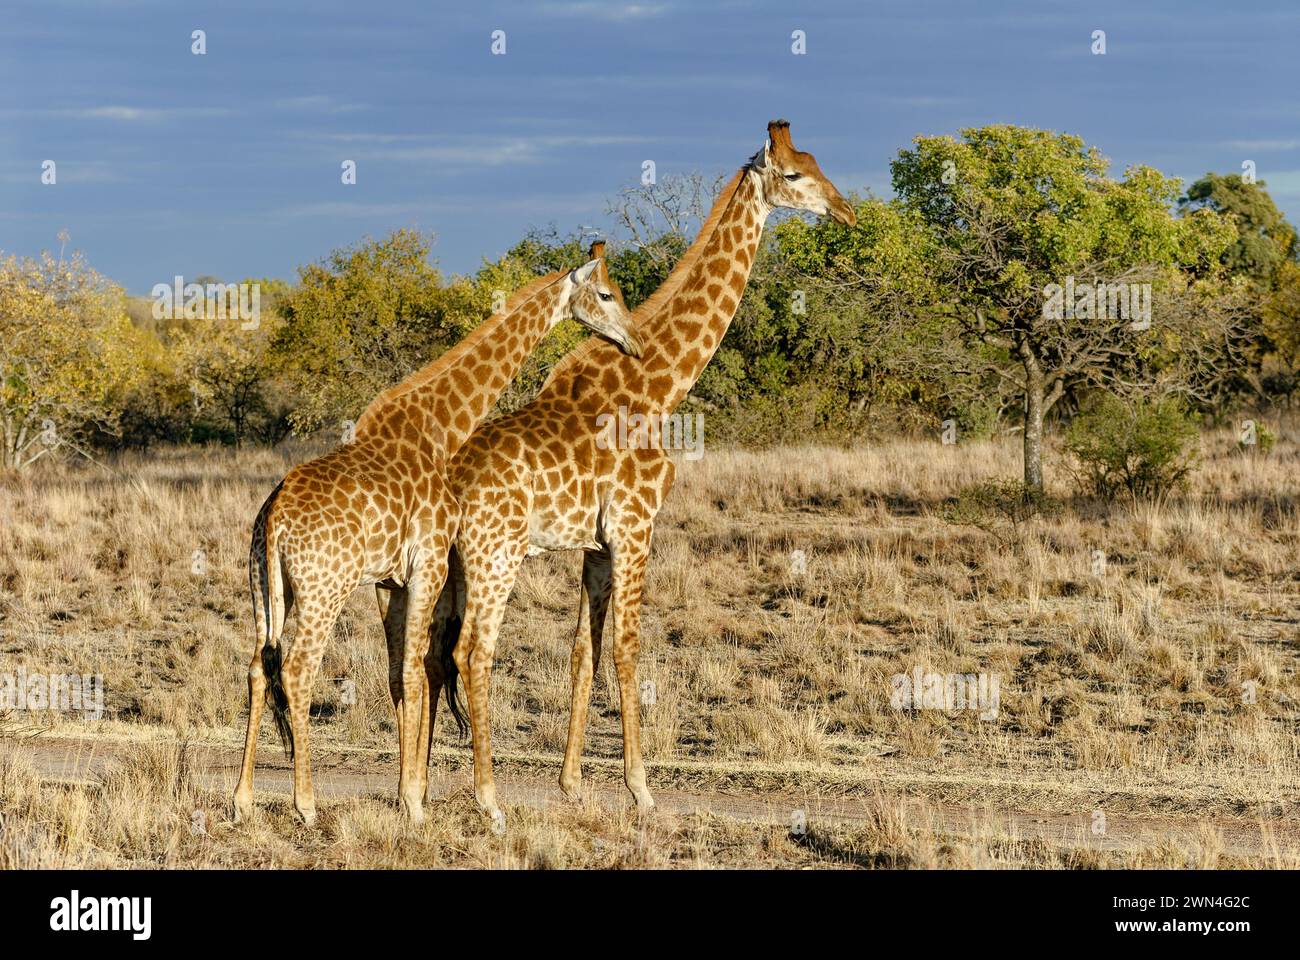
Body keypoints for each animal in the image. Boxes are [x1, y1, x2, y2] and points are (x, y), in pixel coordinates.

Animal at [231, 246, 639, 826]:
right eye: (605, 294)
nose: (633, 342)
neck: (440, 428)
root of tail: (274, 517)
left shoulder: (391, 582)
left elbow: (402, 675)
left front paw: (412, 794)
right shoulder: (428, 564)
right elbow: (416, 671)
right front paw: (414, 804)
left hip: (265, 588)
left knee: (255, 668)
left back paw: (242, 800)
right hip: (322, 590)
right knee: (298, 670)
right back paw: (306, 805)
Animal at [428, 121, 856, 818]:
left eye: (817, 161)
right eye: (794, 175)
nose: (846, 211)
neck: (658, 387)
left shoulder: (596, 543)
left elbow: (584, 648)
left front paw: (572, 783)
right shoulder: (635, 526)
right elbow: (628, 647)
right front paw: (640, 787)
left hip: (450, 564)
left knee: (432, 654)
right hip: (496, 554)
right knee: (472, 652)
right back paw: (487, 799)